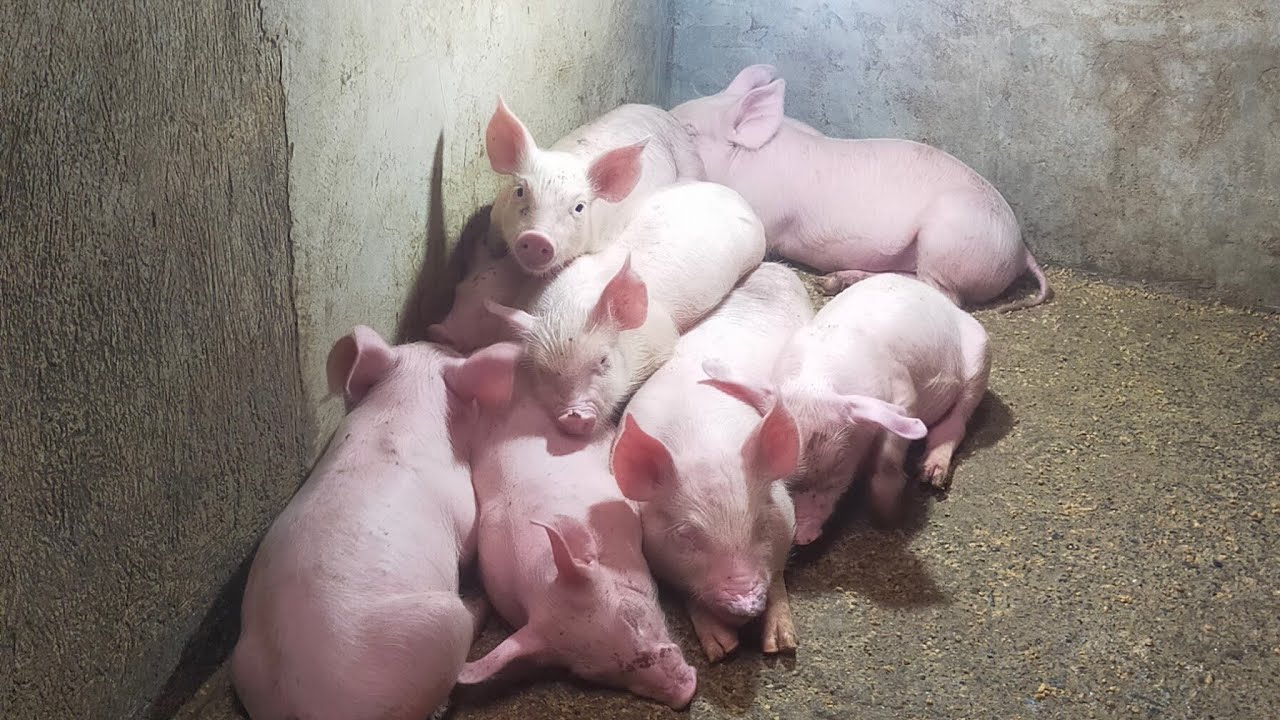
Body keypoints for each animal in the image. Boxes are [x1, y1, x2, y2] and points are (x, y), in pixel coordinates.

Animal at [230, 327, 522, 720]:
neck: (406, 400)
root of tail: (302, 708)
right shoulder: (464, 506)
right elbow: (469, 540)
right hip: (438, 623)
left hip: (244, 662)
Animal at [610, 262, 814, 662]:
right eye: (687, 535)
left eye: (761, 523)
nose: (745, 599)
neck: (704, 441)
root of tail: (775, 267)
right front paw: (722, 650)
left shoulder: (786, 515)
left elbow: (778, 575)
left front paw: (781, 645)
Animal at [669, 63, 1052, 312]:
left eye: (690, 130)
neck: (745, 160)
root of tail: (1020, 250)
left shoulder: (767, 216)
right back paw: (836, 281)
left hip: (947, 238)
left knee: (945, 295)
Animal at [702, 273, 990, 543]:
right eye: (783, 477)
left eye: (839, 470)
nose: (803, 537)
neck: (816, 383)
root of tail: (941, 297)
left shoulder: (903, 390)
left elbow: (888, 458)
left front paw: (887, 517)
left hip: (981, 354)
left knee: (958, 421)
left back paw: (930, 477)